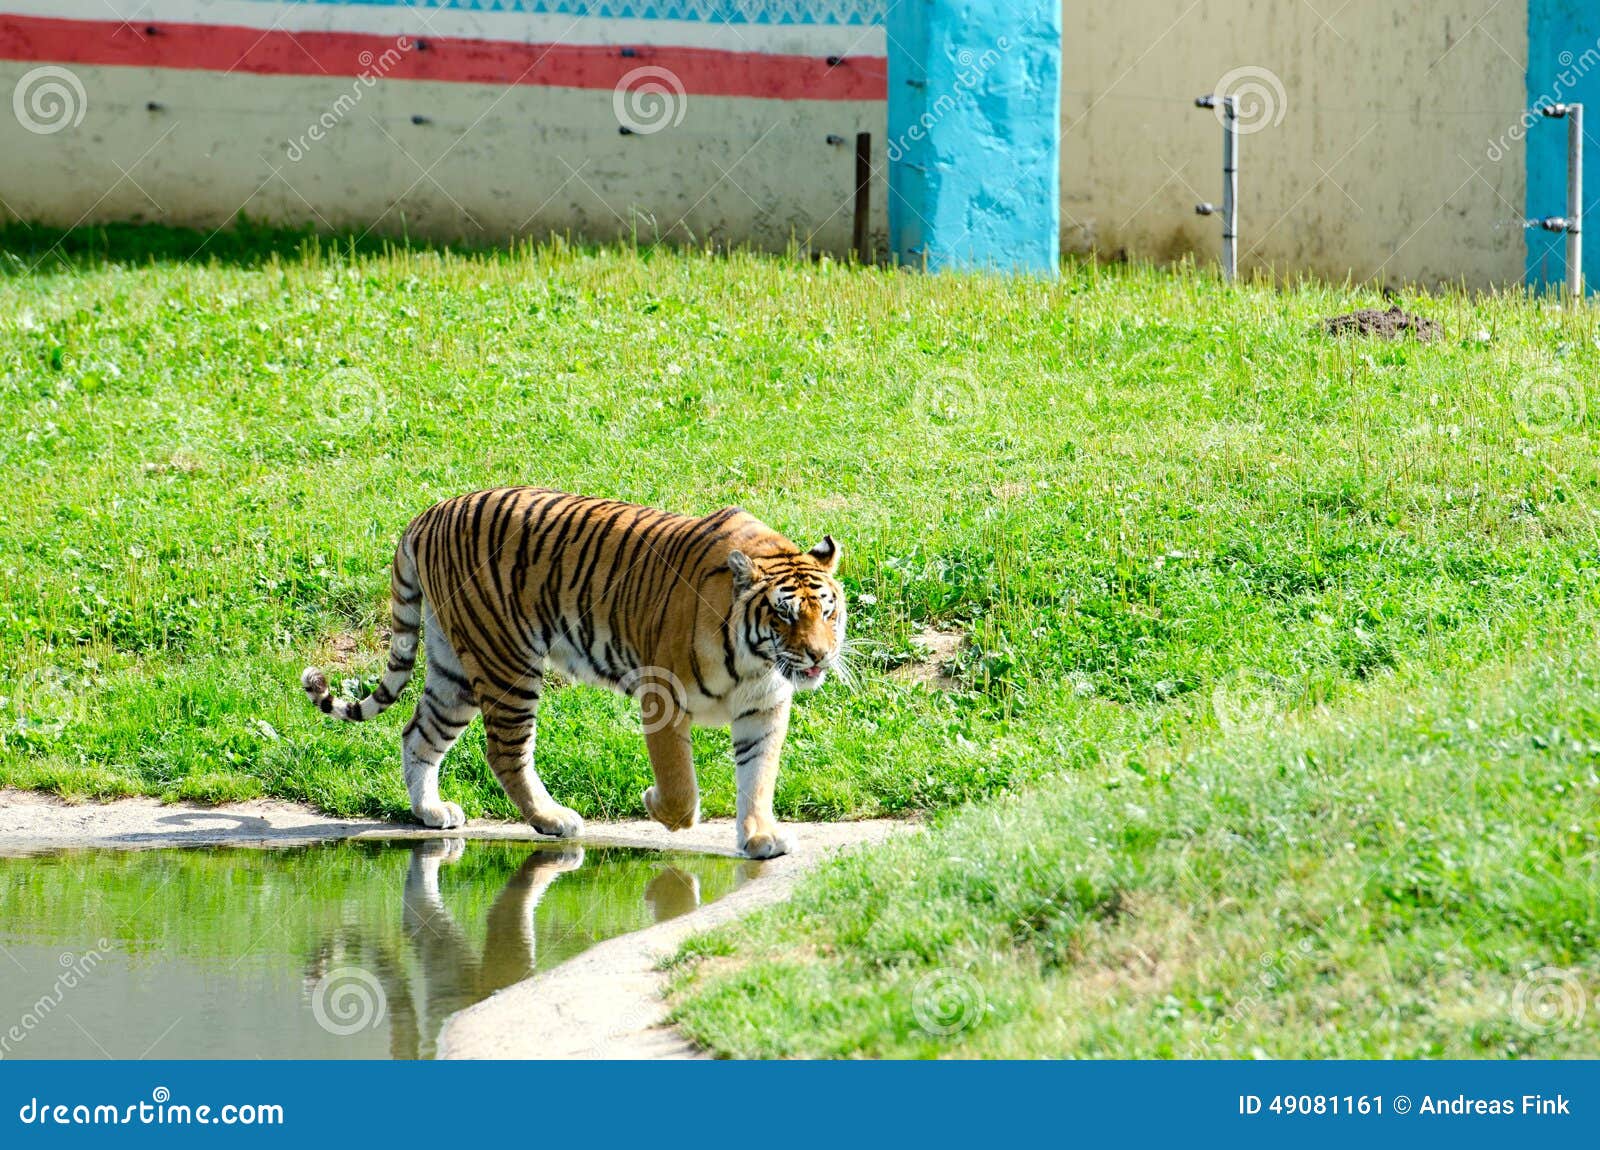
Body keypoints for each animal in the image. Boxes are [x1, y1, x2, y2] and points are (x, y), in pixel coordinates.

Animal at [301, 488, 846, 859]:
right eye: (784, 616)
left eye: (827, 611)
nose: (819, 657)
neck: (754, 658)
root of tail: (427, 513)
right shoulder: (663, 697)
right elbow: (679, 785)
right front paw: (657, 806)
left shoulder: (764, 707)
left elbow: (758, 777)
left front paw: (759, 837)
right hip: (507, 661)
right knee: (505, 752)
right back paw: (552, 819)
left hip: (453, 669)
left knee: (418, 733)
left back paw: (432, 813)